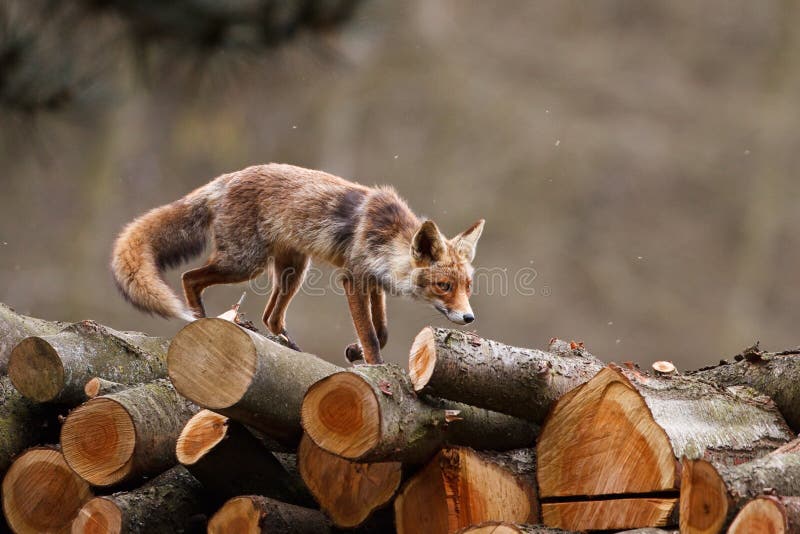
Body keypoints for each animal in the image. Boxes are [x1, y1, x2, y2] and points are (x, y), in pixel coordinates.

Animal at [111, 163, 484, 364]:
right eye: (444, 286)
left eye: (468, 287)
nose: (469, 318)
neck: (388, 238)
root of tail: (227, 178)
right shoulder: (353, 279)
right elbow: (371, 335)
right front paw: (375, 366)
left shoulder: (373, 283)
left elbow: (382, 331)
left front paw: (355, 352)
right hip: (245, 263)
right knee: (190, 277)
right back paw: (201, 321)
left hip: (293, 271)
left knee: (270, 317)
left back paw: (286, 345)